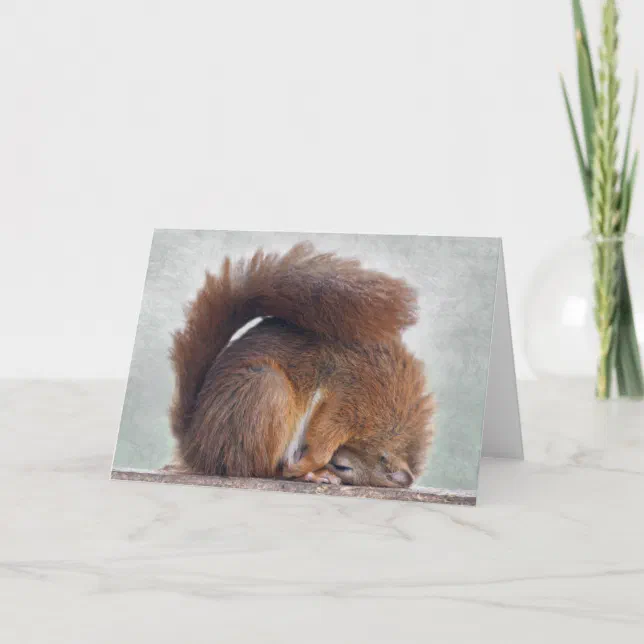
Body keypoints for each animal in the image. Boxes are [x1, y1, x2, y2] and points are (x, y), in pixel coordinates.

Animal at [169, 242, 435, 488]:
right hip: (266, 390)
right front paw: (307, 464)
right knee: (259, 470)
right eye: (343, 467)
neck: (391, 425)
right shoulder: (353, 397)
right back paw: (304, 473)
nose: (334, 466)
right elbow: (325, 434)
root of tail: (197, 447)